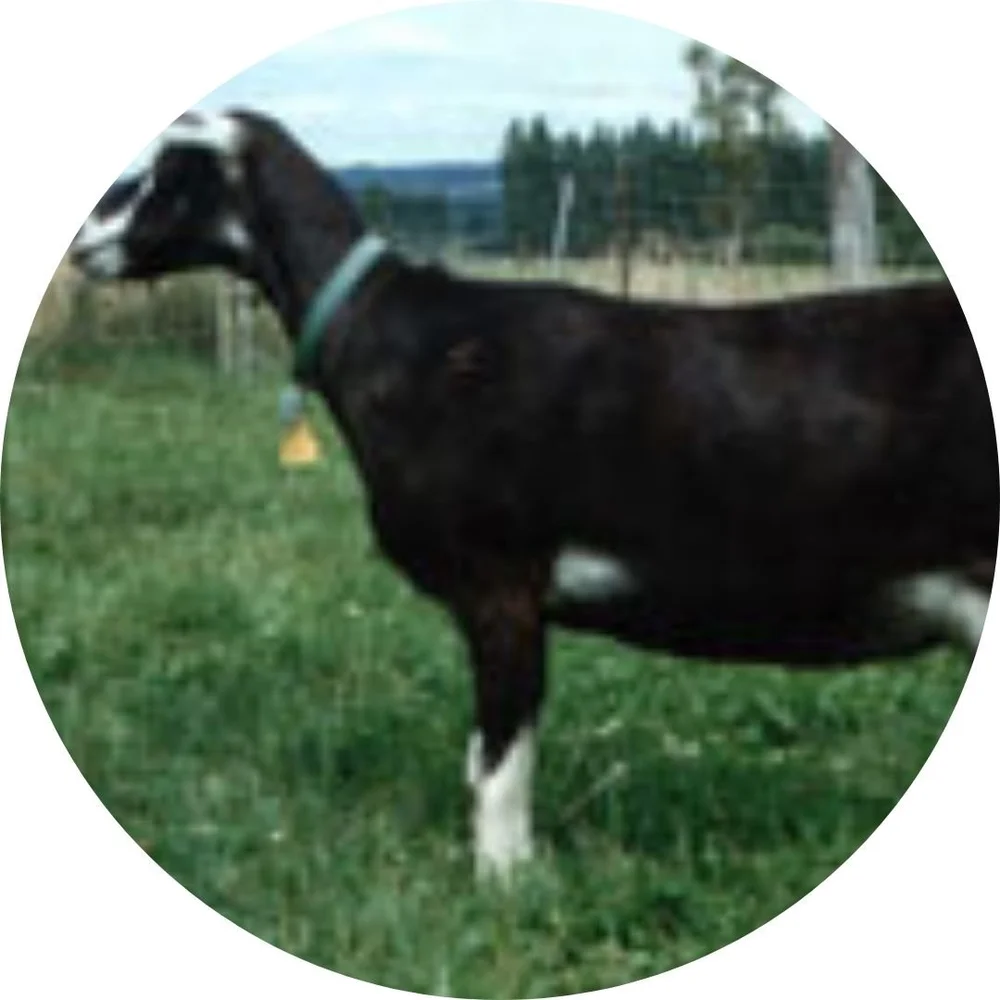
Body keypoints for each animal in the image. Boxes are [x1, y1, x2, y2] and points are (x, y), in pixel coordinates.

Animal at [70, 109, 998, 880]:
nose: (79, 244)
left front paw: (505, 887)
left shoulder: (503, 582)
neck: (403, 343)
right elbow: (484, 755)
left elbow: (498, 762)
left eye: (157, 174)